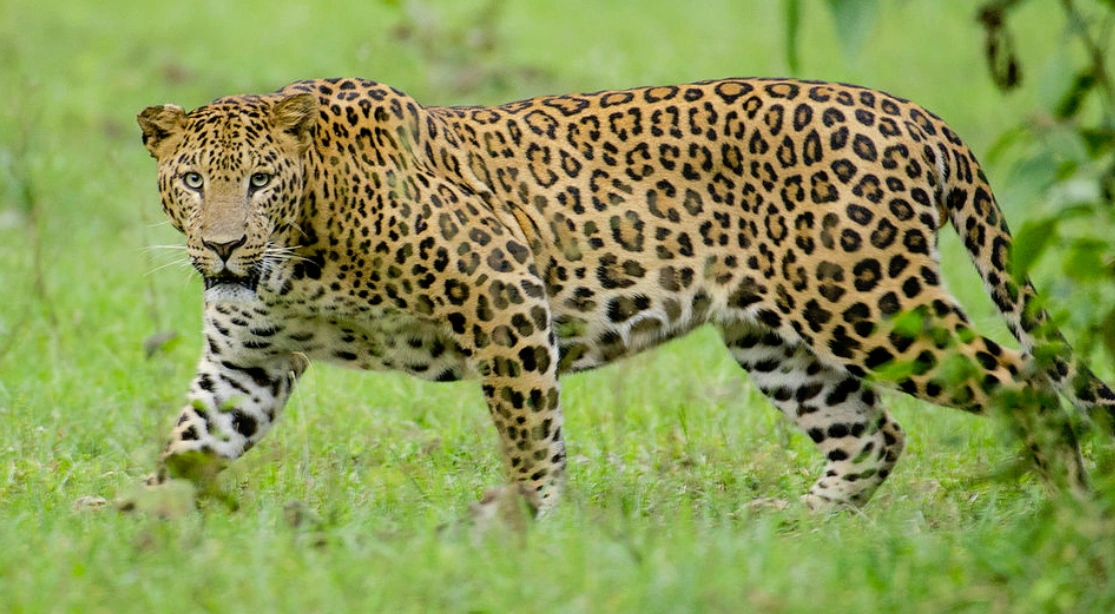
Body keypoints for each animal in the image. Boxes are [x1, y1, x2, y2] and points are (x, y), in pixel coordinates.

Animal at [137, 76, 1115, 516]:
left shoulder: (503, 292)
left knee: (1026, 386)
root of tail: (916, 115)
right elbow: (190, 442)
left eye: (260, 180)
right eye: (191, 180)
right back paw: (796, 526)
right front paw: (131, 529)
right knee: (871, 432)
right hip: (773, 335)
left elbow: (528, 431)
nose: (222, 245)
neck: (298, 255)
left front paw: (522, 525)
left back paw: (1070, 514)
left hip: (867, 301)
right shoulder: (246, 360)